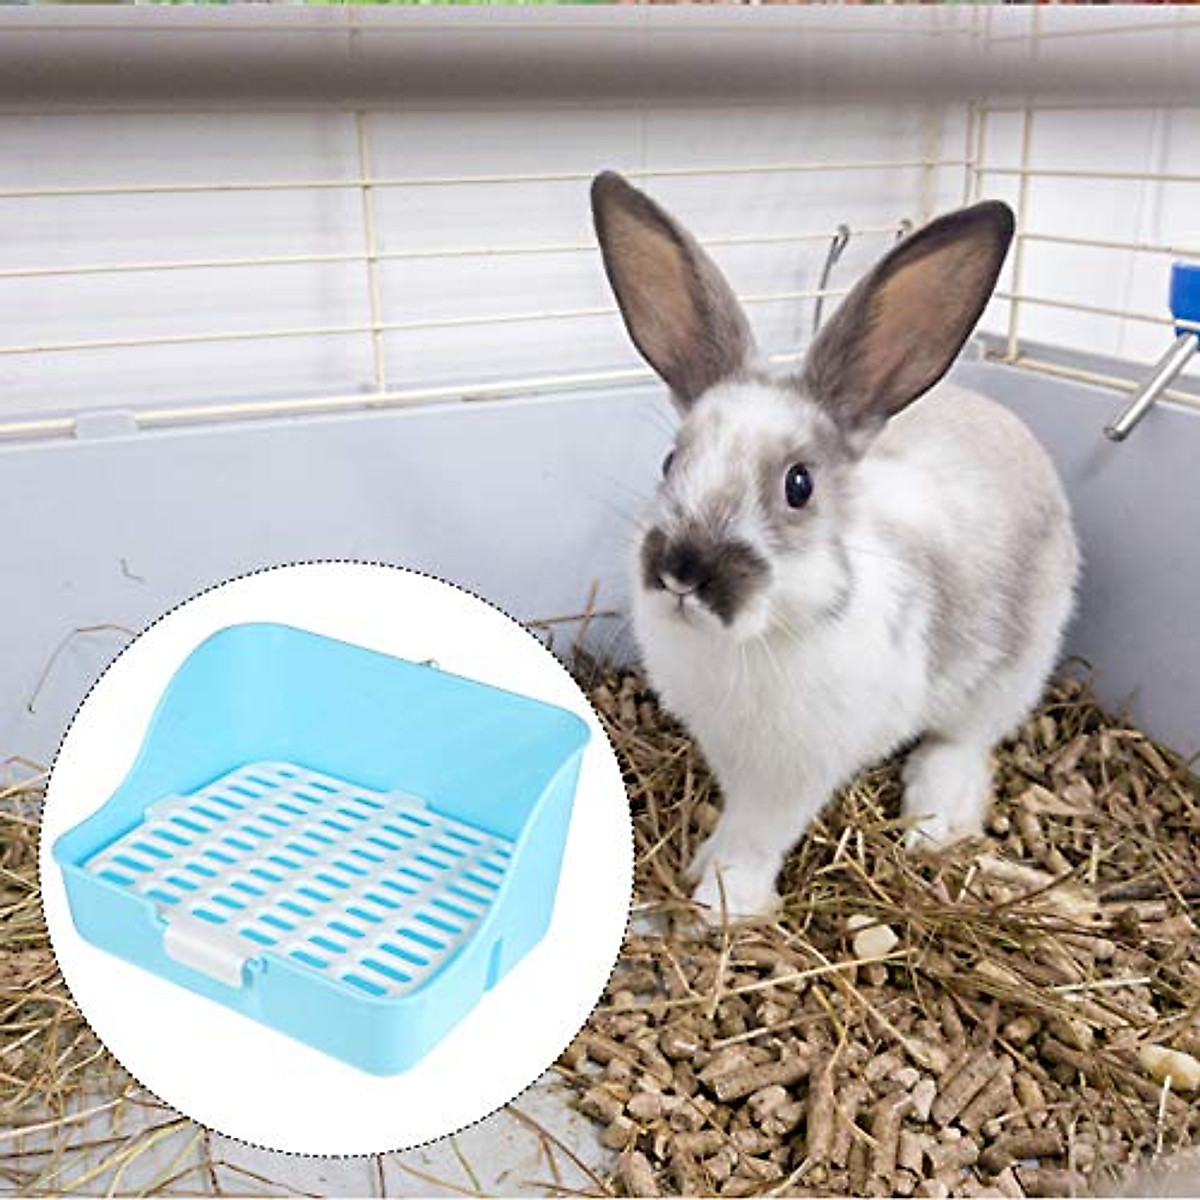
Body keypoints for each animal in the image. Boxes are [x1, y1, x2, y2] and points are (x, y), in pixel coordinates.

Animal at [590, 171, 1079, 921]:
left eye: (799, 485)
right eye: (671, 461)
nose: (682, 571)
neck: (757, 637)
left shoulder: (791, 778)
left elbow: (756, 839)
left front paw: (724, 904)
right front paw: (702, 865)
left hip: (1013, 668)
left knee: (966, 741)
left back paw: (935, 818)